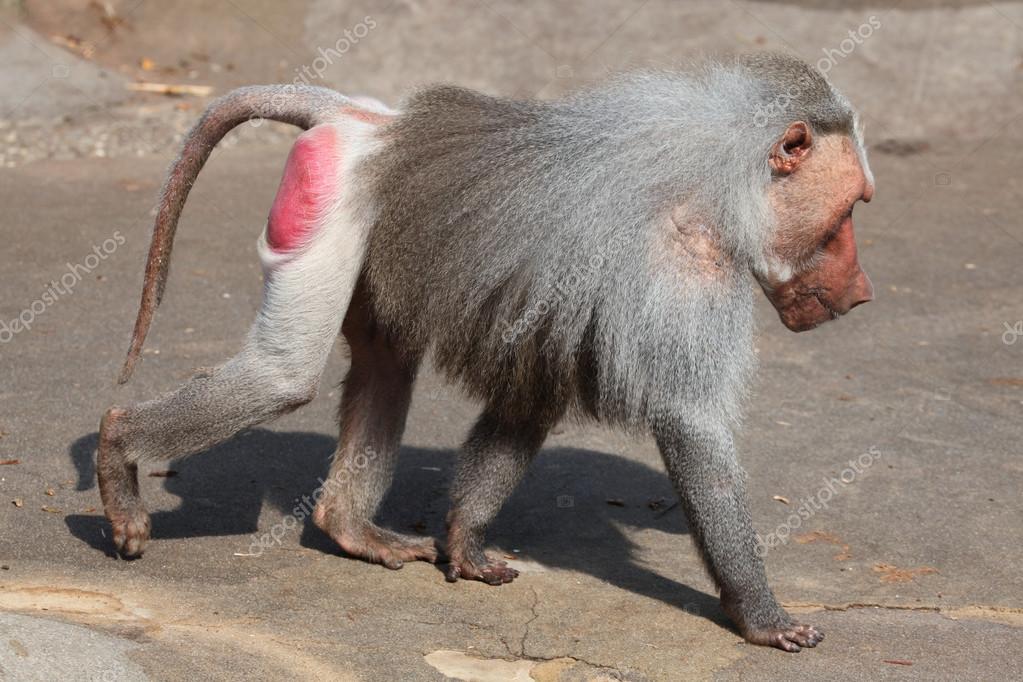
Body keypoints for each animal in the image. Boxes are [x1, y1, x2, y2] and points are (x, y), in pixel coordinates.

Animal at [98, 54, 874, 652]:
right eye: (849, 212)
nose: (863, 294)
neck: (721, 177)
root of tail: (376, 123)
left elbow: (532, 397)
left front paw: (465, 543)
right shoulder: (683, 267)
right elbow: (693, 428)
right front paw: (762, 617)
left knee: (386, 365)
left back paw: (351, 530)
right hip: (328, 198)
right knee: (282, 378)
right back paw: (119, 453)